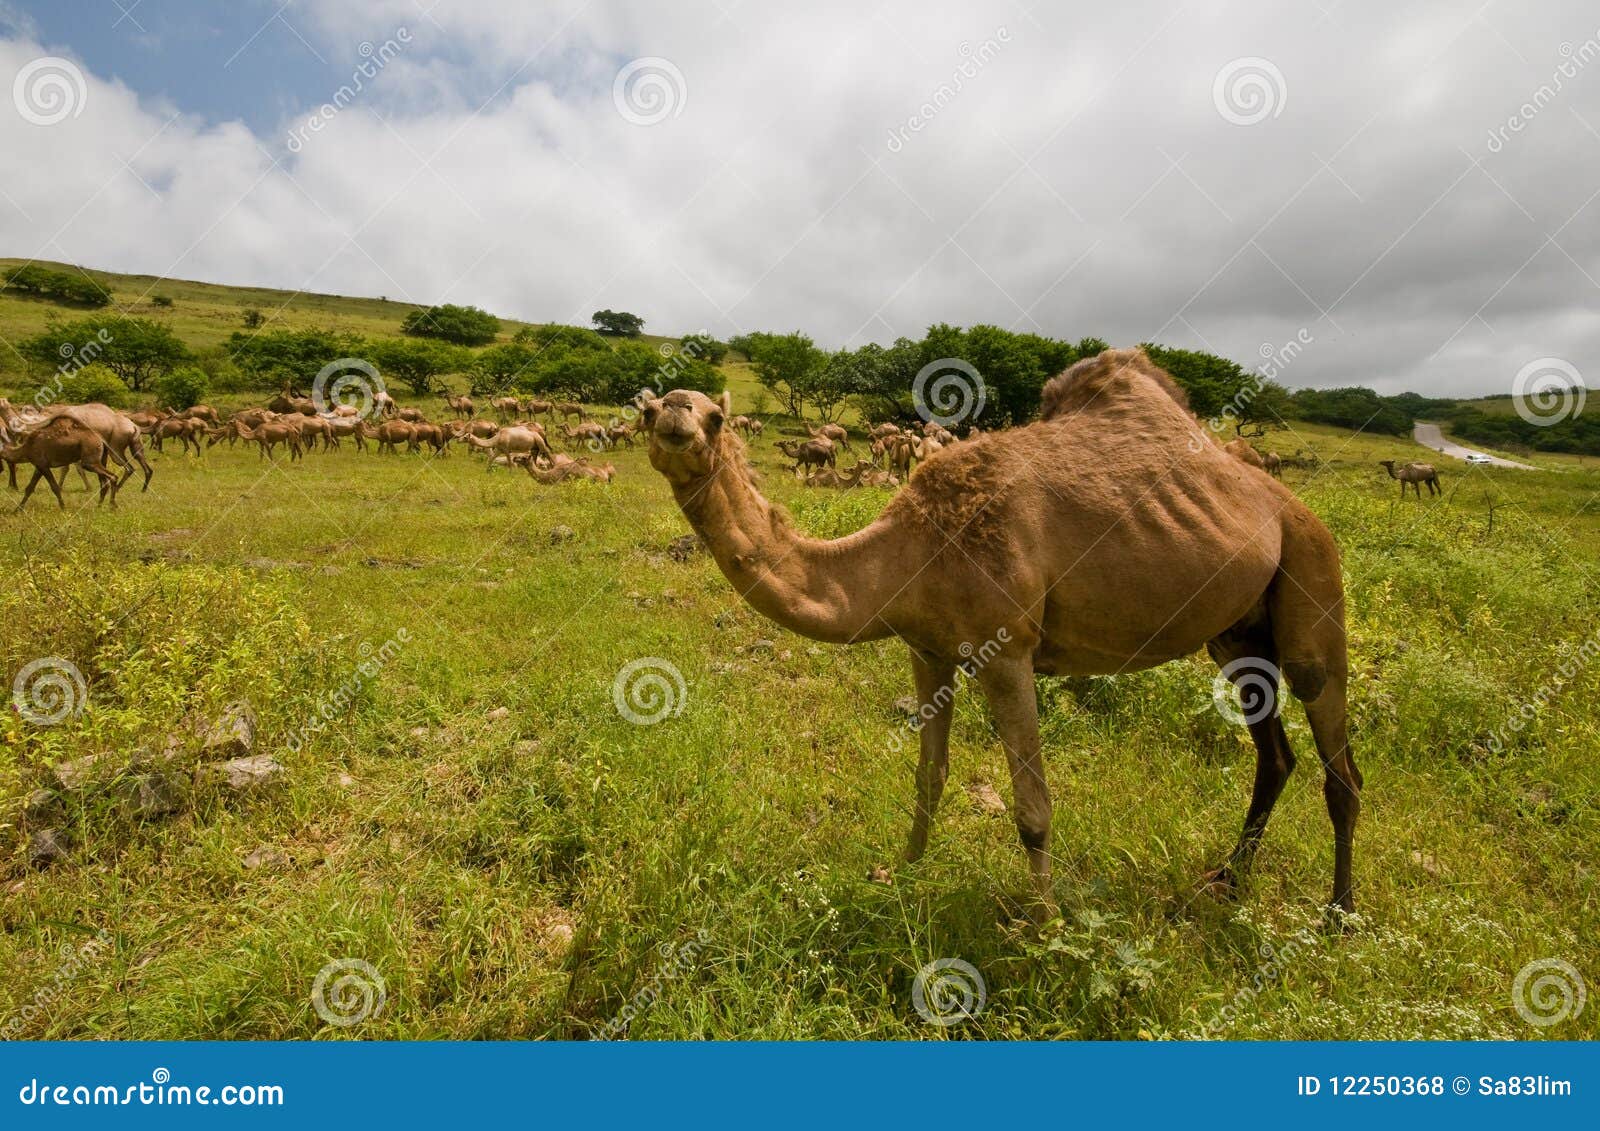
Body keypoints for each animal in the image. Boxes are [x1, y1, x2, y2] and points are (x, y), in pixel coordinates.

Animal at [641, 348, 1361, 921]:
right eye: (650, 413)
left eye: (714, 418)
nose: (675, 420)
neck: (910, 548)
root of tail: (1286, 501)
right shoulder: (927, 650)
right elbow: (929, 776)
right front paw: (899, 876)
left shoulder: (1006, 650)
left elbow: (1033, 809)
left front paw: (1045, 928)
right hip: (1237, 632)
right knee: (1275, 755)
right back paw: (1229, 881)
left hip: (1311, 572)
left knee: (1338, 755)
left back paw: (1339, 913)